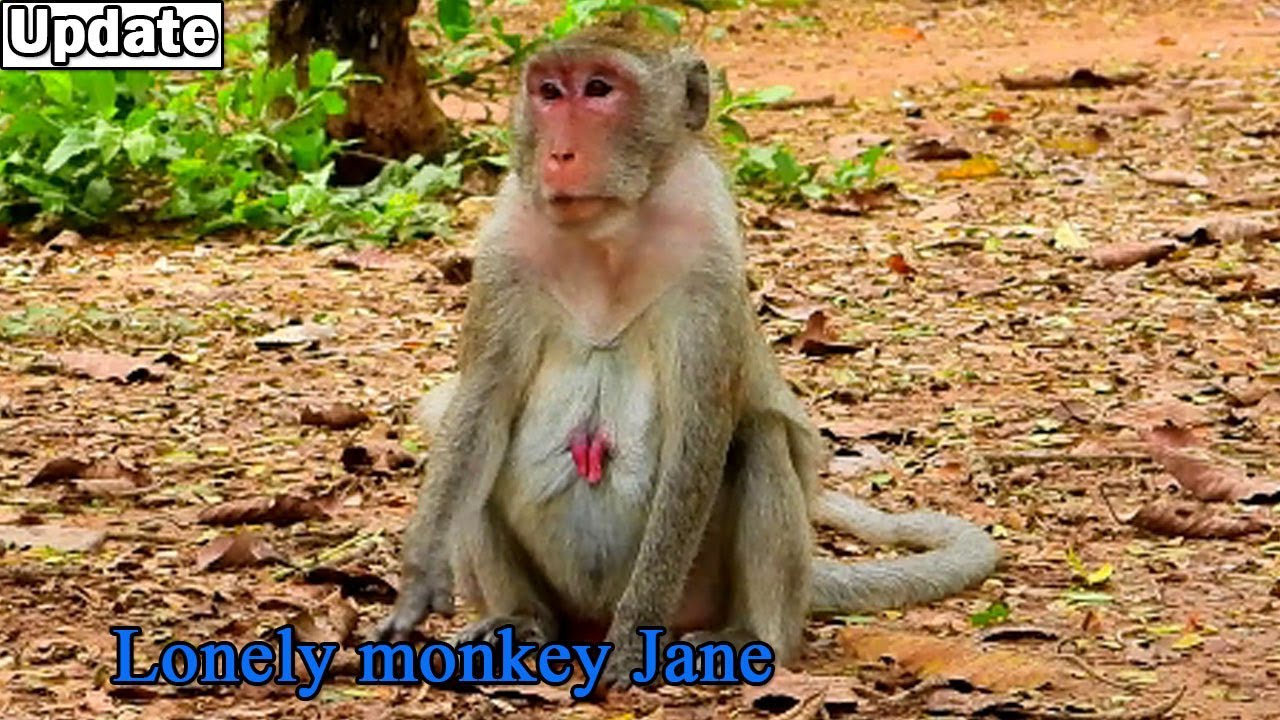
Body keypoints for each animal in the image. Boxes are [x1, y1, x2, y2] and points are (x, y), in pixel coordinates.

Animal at [375, 25, 999, 689]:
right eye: (549, 92)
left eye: (599, 89)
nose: (559, 155)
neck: (608, 236)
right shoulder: (505, 250)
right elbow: (481, 406)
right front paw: (418, 580)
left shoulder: (707, 259)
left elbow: (699, 436)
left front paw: (633, 638)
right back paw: (521, 621)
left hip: (704, 594)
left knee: (758, 437)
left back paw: (752, 639)